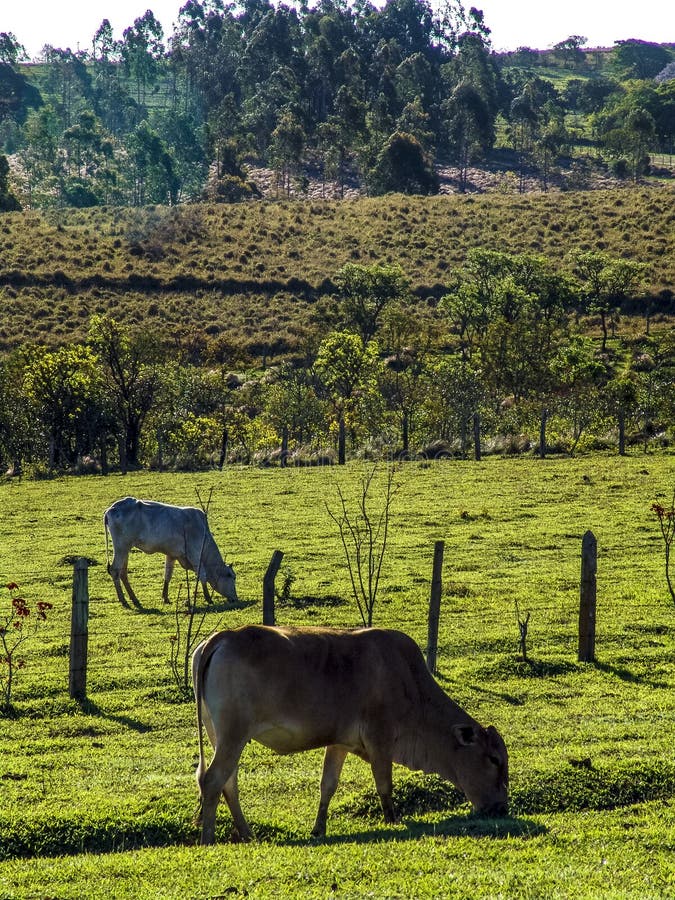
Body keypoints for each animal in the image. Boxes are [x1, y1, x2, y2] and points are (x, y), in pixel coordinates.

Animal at [103, 497, 237, 609]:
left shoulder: (172, 555)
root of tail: (112, 508)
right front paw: (208, 598)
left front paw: (165, 597)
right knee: (115, 570)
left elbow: (167, 575)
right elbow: (202, 575)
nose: (235, 598)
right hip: (121, 547)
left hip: (125, 549)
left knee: (123, 573)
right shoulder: (195, 553)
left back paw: (134, 599)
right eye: (232, 576)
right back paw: (123, 600)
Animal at [193, 625, 509, 844]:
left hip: (220, 735)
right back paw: (208, 838)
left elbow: (328, 785)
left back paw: (247, 834)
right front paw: (392, 820)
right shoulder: (380, 738)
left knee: (229, 783)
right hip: (233, 735)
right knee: (214, 779)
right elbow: (384, 784)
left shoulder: (339, 742)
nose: (502, 808)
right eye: (494, 759)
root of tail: (223, 636)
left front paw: (318, 828)